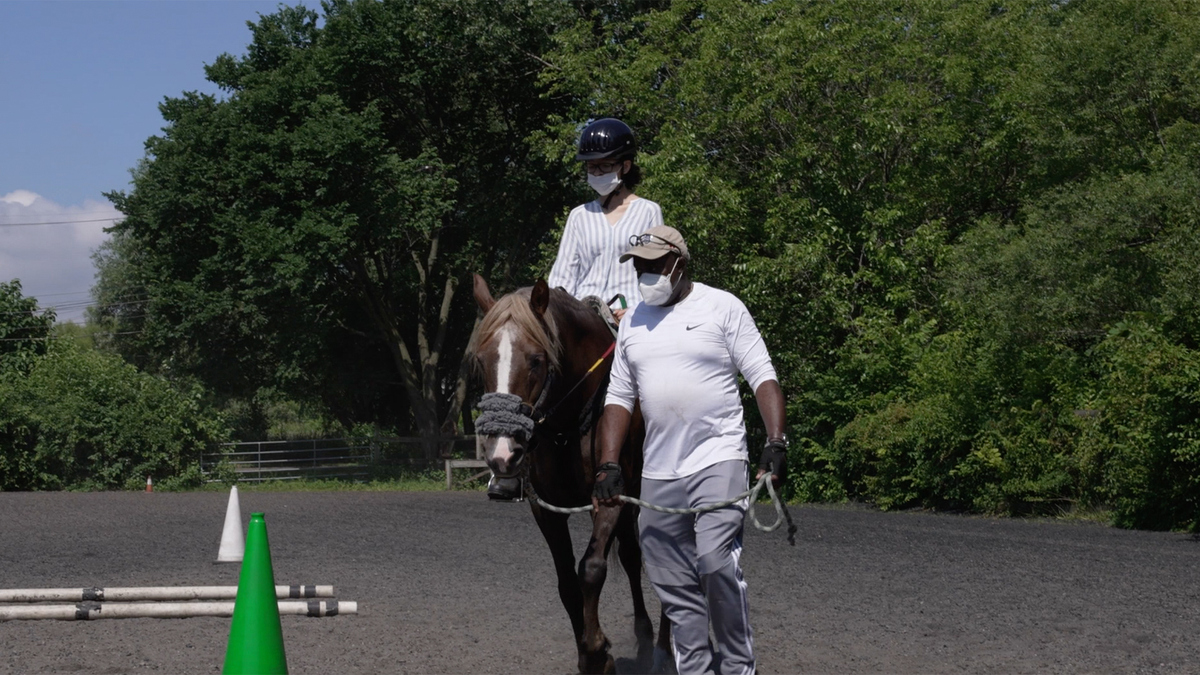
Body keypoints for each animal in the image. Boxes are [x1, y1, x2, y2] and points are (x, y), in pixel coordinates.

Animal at [471, 274, 670, 674]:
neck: (571, 421)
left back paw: (660, 647)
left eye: (536, 359)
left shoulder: (609, 496)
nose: (502, 453)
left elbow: (591, 568)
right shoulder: (545, 508)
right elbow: (567, 581)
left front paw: (596, 651)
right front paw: (585, 653)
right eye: (482, 361)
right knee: (631, 556)